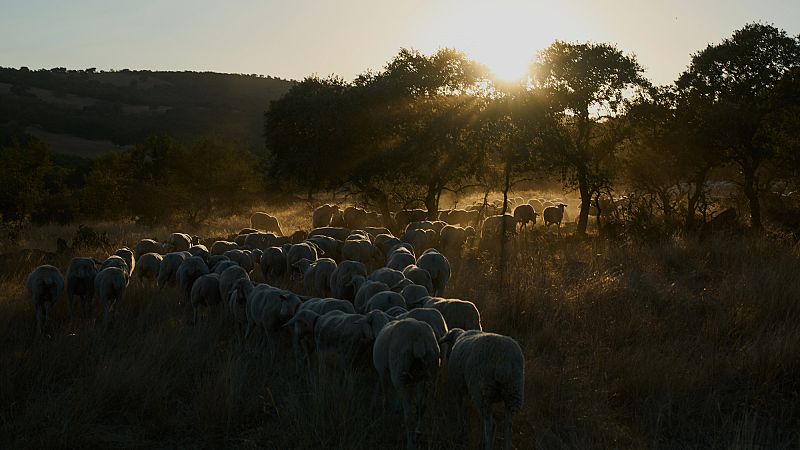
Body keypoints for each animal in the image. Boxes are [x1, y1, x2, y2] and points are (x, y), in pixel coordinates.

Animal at [372, 318, 440, 450]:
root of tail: (418, 338)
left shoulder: (383, 373)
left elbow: (385, 398)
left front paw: (385, 417)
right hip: (429, 374)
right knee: (422, 405)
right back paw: (419, 430)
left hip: (400, 373)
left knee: (409, 415)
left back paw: (410, 443)